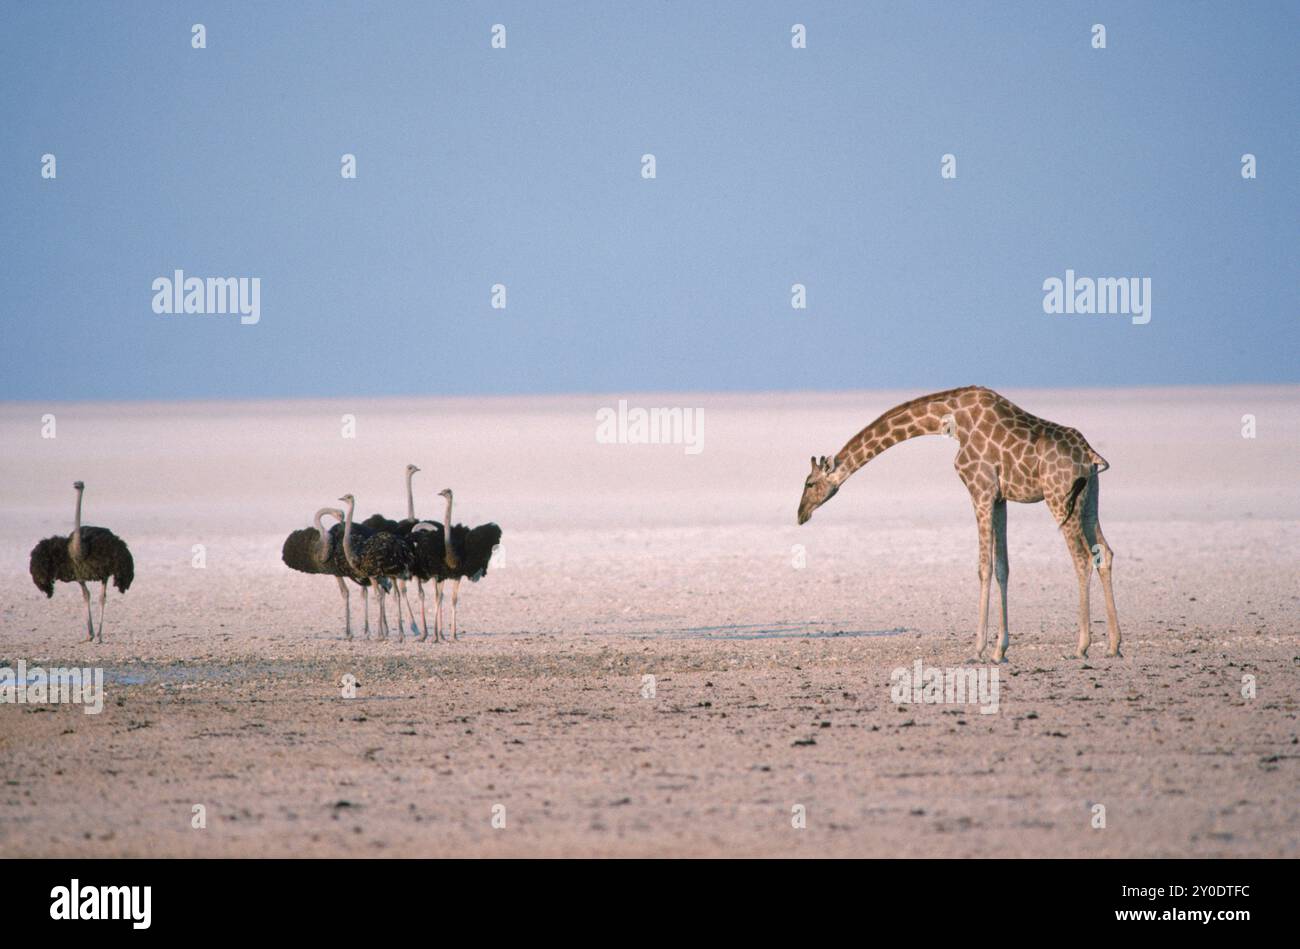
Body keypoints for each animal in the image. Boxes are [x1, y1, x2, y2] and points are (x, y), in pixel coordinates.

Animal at [796, 386, 1120, 662]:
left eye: (809, 483)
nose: (801, 514)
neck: (950, 420)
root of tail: (1089, 454)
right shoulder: (999, 498)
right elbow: (1002, 567)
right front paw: (1000, 651)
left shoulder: (980, 490)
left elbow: (984, 567)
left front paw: (978, 650)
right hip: (1089, 498)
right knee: (1104, 552)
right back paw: (1114, 645)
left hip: (1059, 497)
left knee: (1081, 557)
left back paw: (1082, 646)